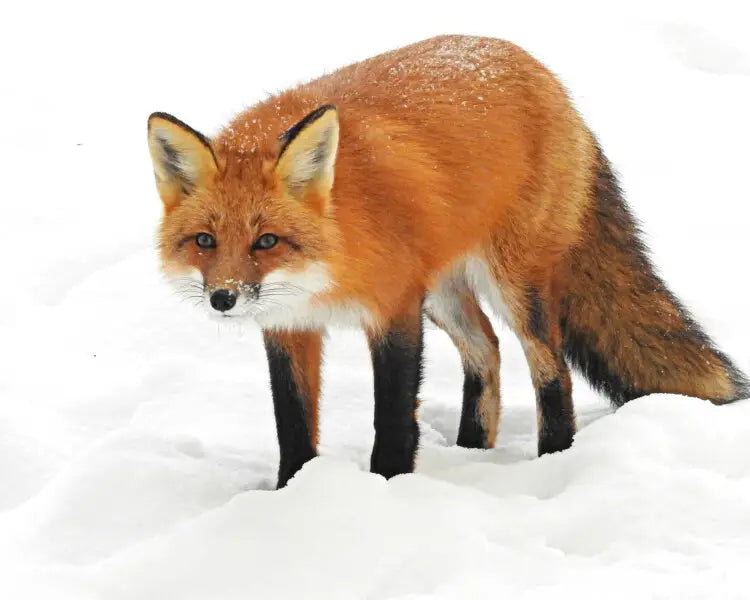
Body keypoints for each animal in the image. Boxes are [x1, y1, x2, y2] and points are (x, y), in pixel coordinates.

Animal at [147, 35, 748, 488]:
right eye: (204, 241)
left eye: (267, 241)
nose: (223, 298)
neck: (333, 252)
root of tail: (539, 69)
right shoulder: (289, 326)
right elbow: (292, 425)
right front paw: (290, 495)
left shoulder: (394, 309)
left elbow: (392, 418)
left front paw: (387, 488)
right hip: (441, 293)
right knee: (487, 349)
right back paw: (472, 452)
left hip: (514, 285)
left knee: (550, 370)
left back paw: (552, 459)